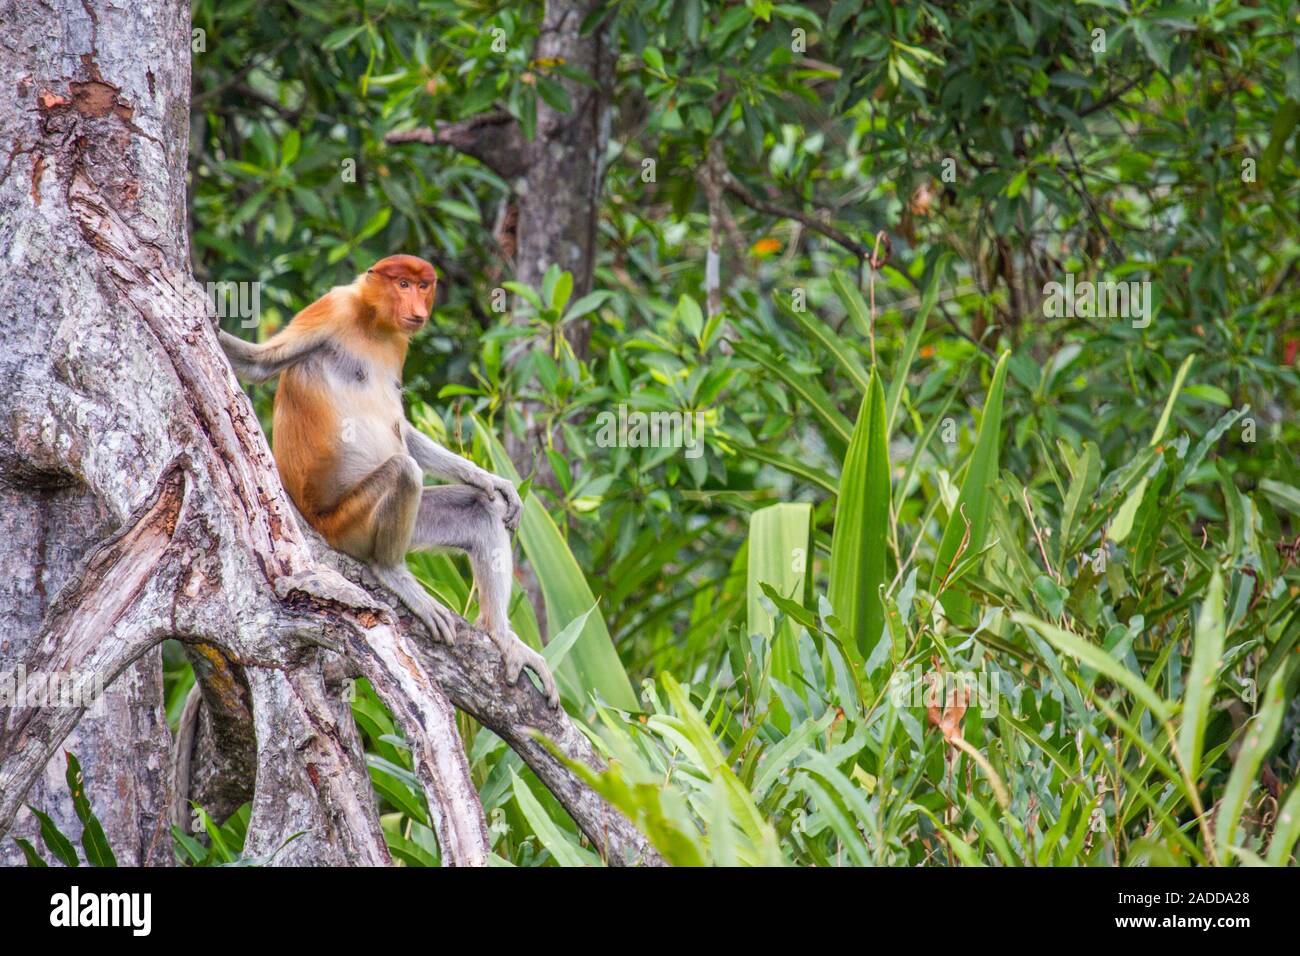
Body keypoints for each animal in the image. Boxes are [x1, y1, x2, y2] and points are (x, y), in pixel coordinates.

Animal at [218, 254, 559, 708]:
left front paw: (491, 481)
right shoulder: (332, 308)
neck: (372, 323)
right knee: (403, 472)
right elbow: (257, 363)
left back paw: (502, 636)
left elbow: (404, 429)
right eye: (402, 284)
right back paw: (393, 572)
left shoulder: (399, 345)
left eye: (423, 285)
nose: (417, 307)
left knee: (479, 510)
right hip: (348, 523)